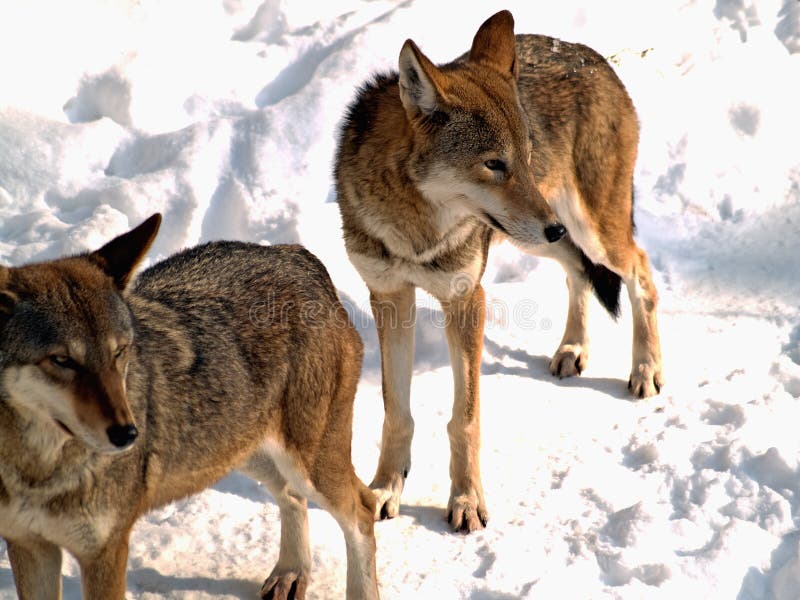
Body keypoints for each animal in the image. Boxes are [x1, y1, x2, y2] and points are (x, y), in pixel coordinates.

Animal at [0, 214, 379, 600]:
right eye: (62, 360)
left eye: (119, 352)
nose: (129, 434)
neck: (39, 471)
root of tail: (296, 255)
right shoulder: (29, 547)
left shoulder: (104, 552)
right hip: (238, 453)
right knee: (290, 495)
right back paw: (291, 573)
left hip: (304, 464)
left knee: (363, 509)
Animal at [335, 10, 663, 532]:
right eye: (494, 164)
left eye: (524, 159)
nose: (551, 225)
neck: (416, 229)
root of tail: (592, 56)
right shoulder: (390, 298)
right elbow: (396, 412)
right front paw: (385, 489)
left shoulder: (467, 298)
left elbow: (464, 419)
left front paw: (466, 502)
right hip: (542, 239)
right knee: (577, 270)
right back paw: (572, 349)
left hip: (589, 231)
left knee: (641, 272)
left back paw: (646, 368)